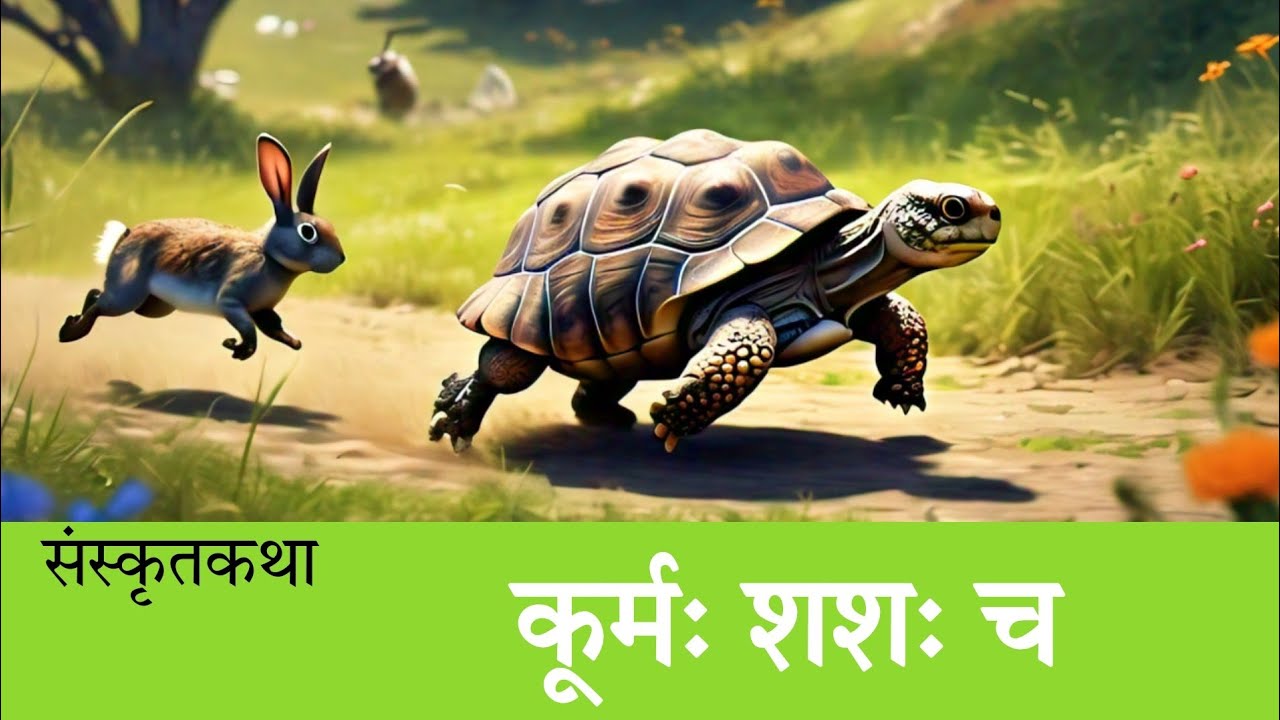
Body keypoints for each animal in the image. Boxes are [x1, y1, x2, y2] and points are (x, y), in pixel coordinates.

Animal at [58, 134, 345, 361]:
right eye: (308, 233)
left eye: (331, 226)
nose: (341, 259)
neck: (269, 256)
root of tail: (124, 237)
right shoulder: (231, 300)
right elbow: (249, 331)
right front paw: (237, 348)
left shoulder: (262, 310)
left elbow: (273, 328)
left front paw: (294, 342)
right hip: (128, 293)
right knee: (102, 305)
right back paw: (69, 332)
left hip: (154, 306)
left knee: (97, 294)